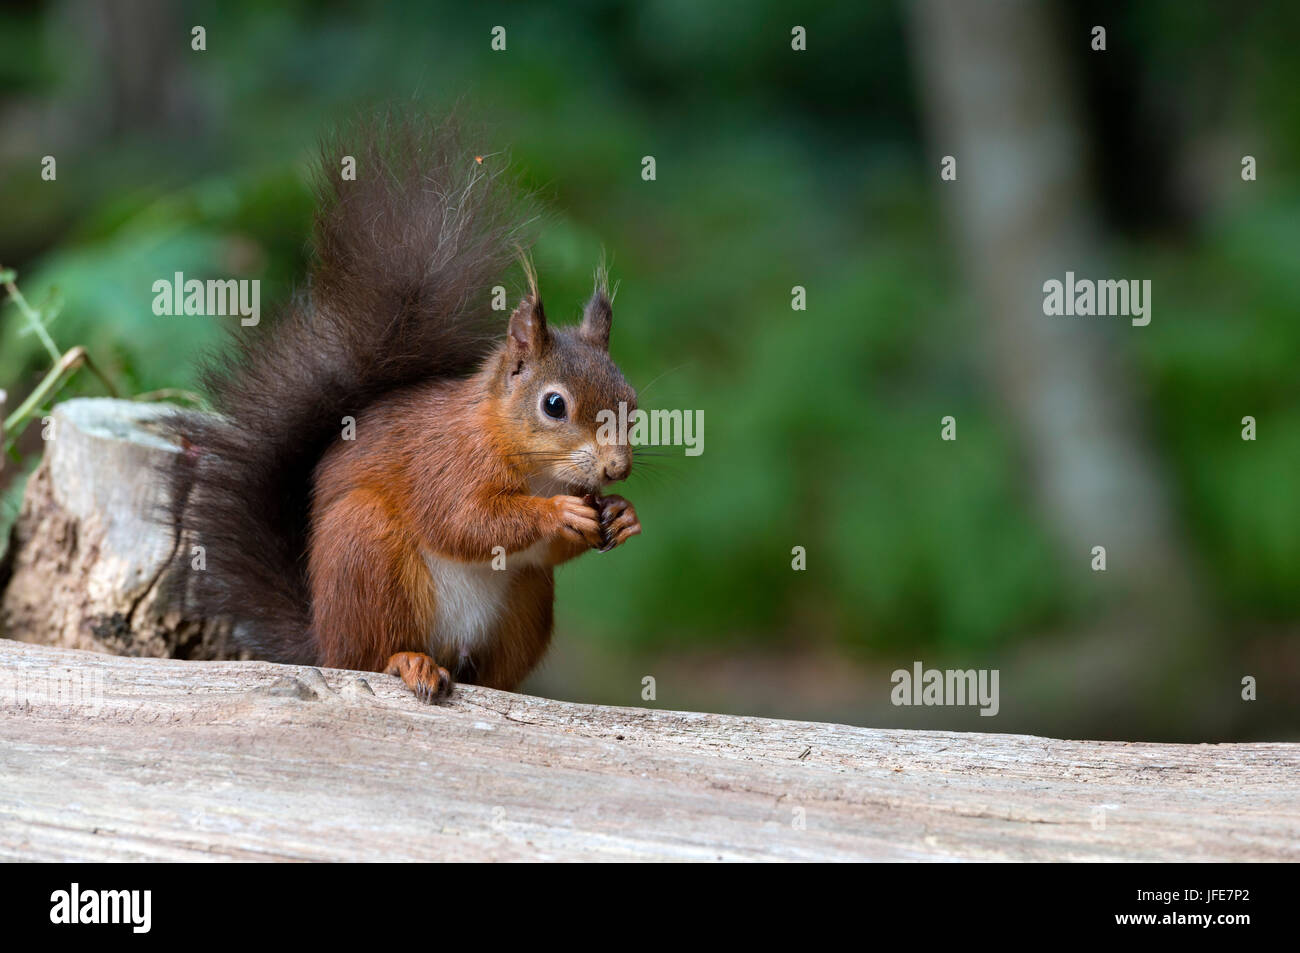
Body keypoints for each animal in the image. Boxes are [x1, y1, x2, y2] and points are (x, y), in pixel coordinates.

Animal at [165, 113, 641, 703]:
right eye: (554, 404)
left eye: (633, 404)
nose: (617, 468)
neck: (533, 466)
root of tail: (322, 641)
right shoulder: (444, 463)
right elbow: (465, 520)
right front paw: (556, 514)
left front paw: (621, 513)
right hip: (365, 551)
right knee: (370, 655)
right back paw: (408, 661)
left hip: (525, 603)